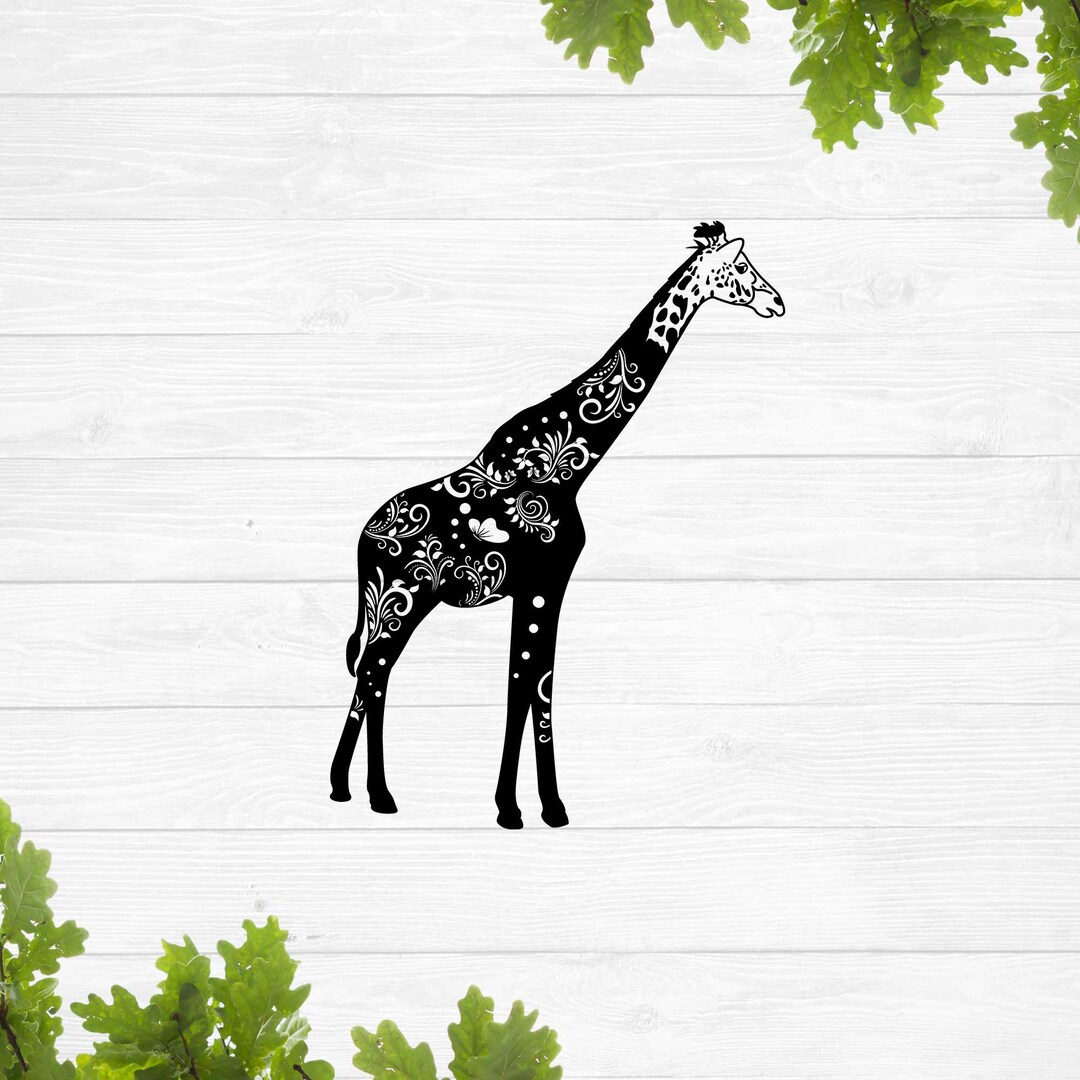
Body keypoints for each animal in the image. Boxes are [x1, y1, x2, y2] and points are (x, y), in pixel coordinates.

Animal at [330, 221, 785, 828]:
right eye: (741, 270)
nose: (777, 302)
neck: (571, 466)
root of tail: (363, 539)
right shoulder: (546, 582)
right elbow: (533, 688)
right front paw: (533, 808)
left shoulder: (537, 587)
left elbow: (527, 686)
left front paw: (523, 805)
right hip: (399, 599)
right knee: (372, 674)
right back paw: (361, 791)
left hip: (397, 605)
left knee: (374, 676)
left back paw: (361, 791)